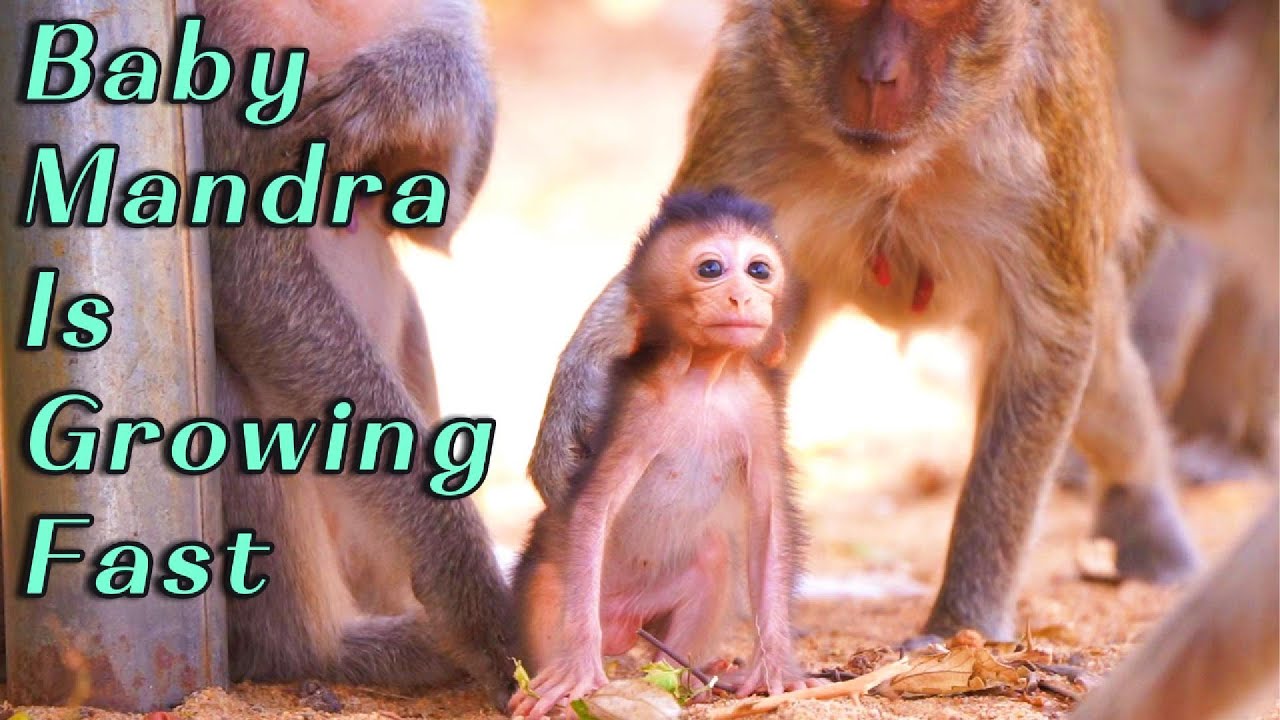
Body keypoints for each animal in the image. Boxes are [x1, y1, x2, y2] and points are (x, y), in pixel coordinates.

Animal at [509, 189, 814, 720]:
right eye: (711, 268)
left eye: (759, 270)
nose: (743, 296)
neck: (708, 377)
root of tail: (619, 625)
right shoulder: (639, 410)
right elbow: (594, 506)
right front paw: (578, 668)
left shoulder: (758, 409)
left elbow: (768, 520)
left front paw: (774, 666)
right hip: (565, 589)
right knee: (553, 588)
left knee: (713, 559)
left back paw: (684, 682)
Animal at [530, 0, 1201, 644]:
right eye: (848, 0)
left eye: (933, 4)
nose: (878, 75)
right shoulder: (748, 92)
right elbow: (675, 254)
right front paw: (574, 403)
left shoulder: (1049, 133)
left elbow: (1047, 343)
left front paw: (963, 621)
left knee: (1102, 385)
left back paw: (1148, 517)